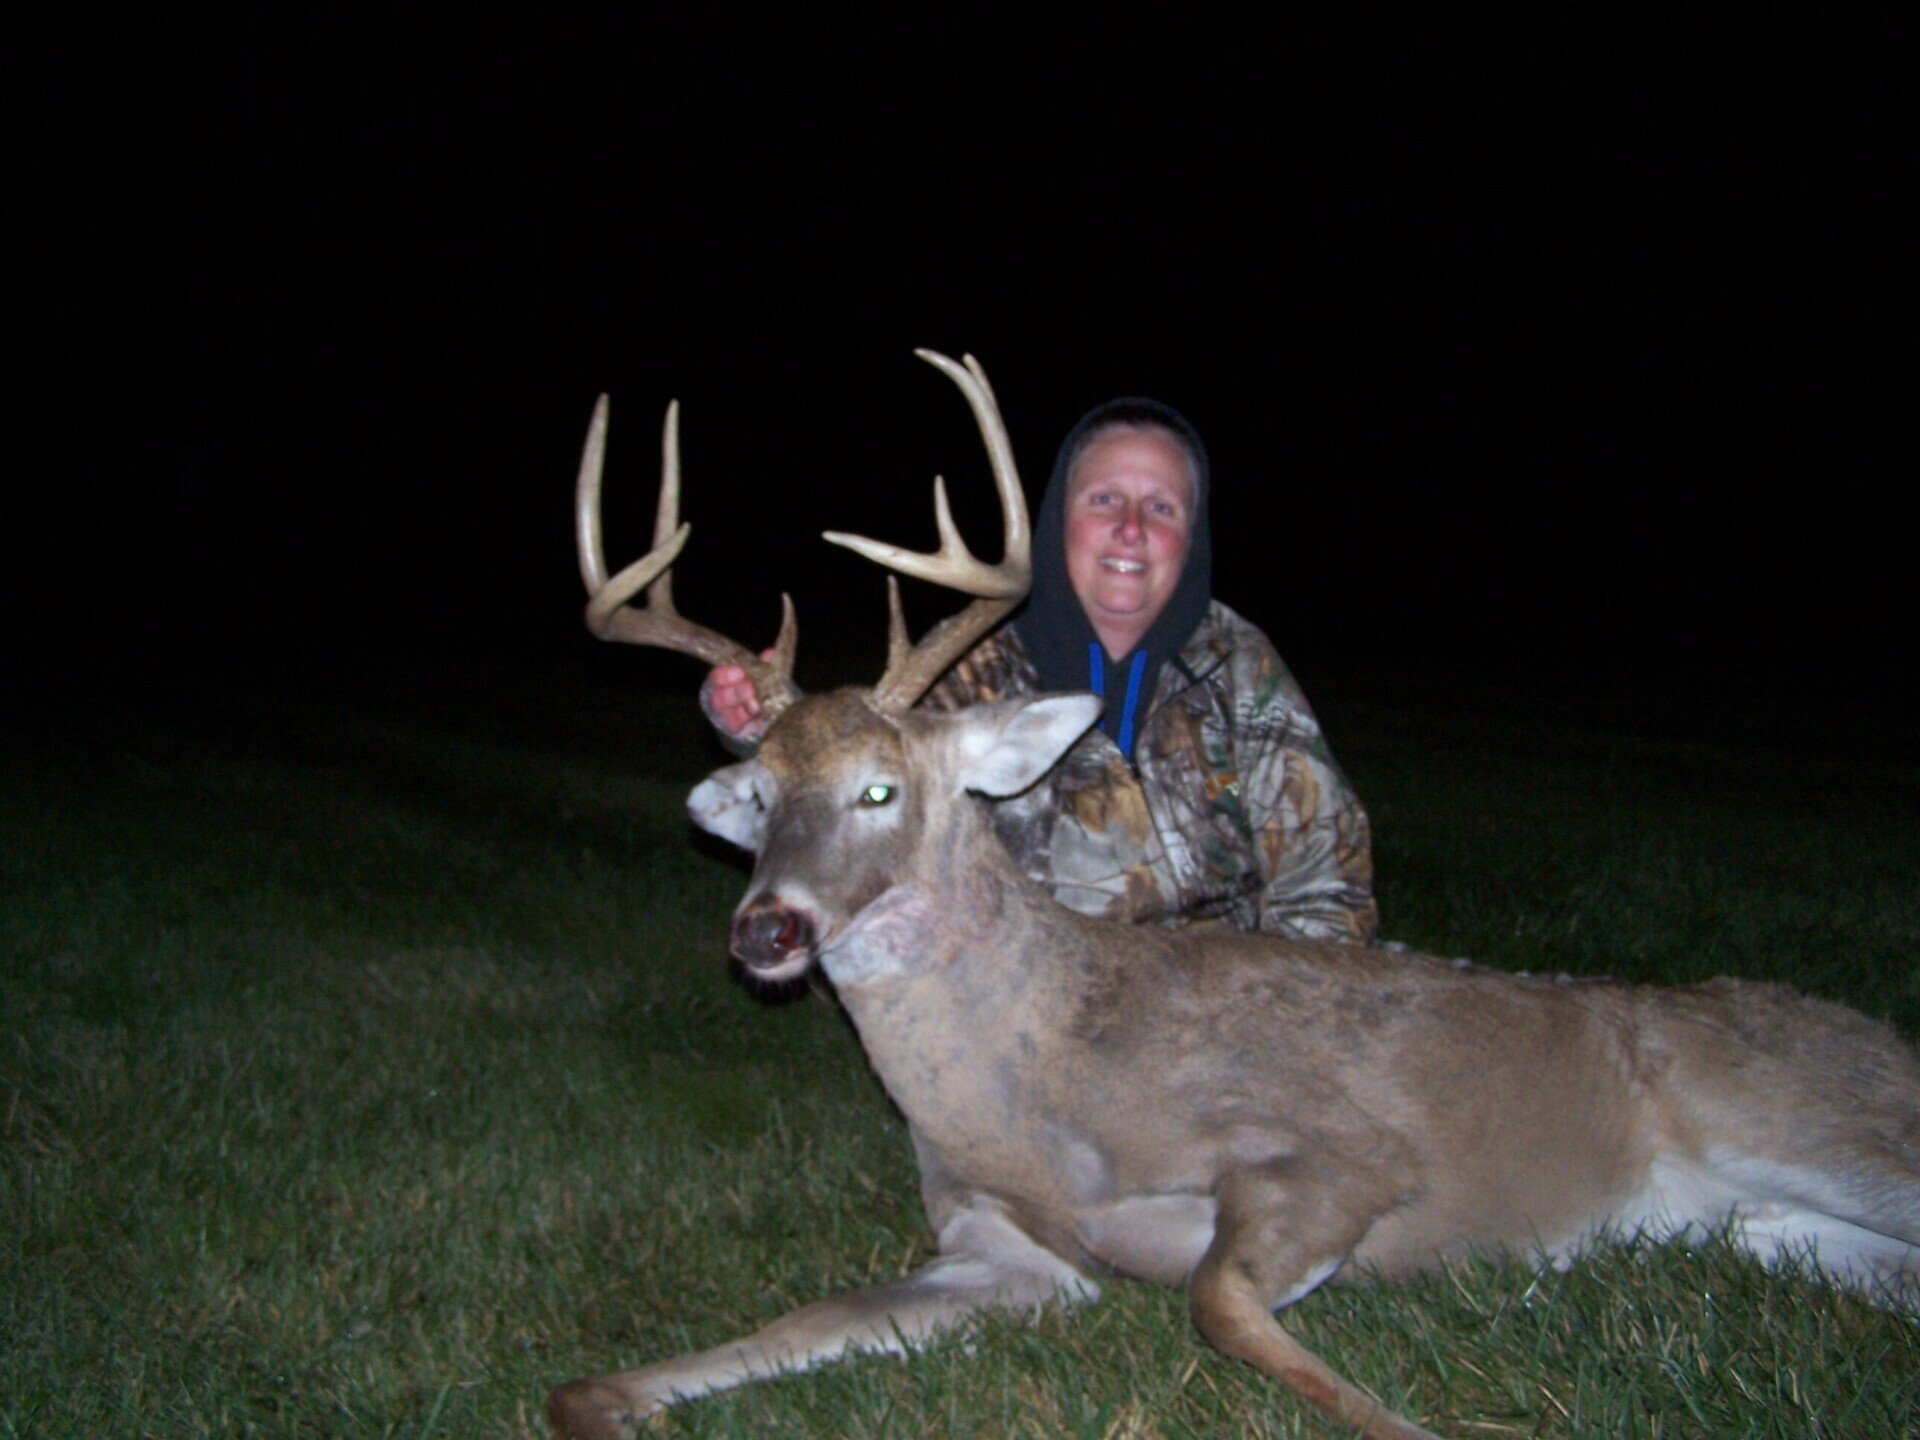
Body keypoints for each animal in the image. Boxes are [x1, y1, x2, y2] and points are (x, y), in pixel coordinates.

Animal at [547, 350, 1920, 1440]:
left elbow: (1217, 1300)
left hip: (1811, 1116)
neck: (1043, 1088)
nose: (767, 927)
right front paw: (615, 1403)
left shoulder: (1336, 1153)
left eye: (883, 789)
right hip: (1766, 1227)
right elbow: (761, 1334)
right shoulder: (1002, 1248)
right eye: (763, 794)